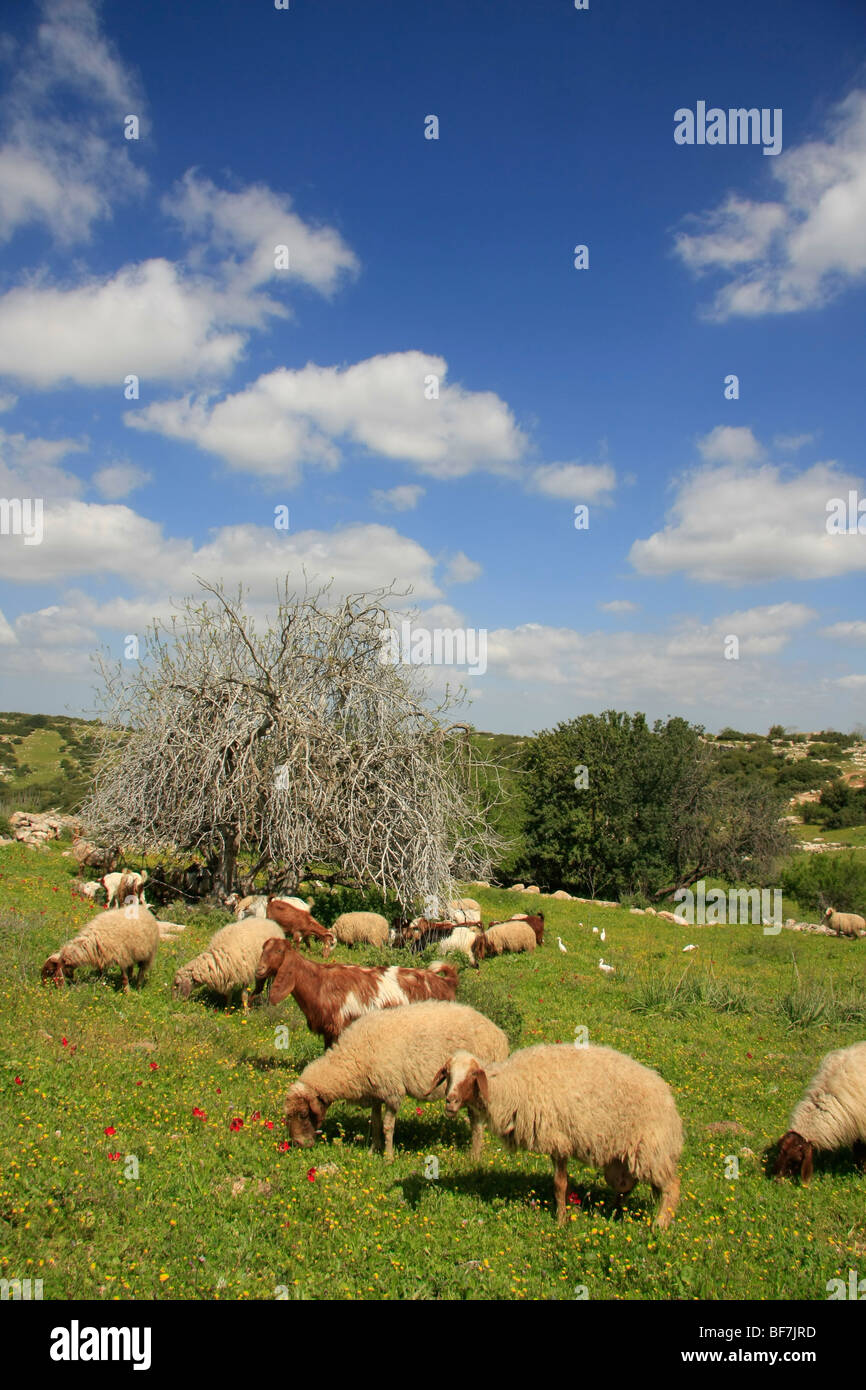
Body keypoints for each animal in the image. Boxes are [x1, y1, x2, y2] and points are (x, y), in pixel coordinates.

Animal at [253, 939, 458, 1047]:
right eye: (262, 949)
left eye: (279, 950)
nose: (259, 969)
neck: (318, 982)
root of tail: (446, 982)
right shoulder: (329, 1031)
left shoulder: (341, 1027)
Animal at [284, 1000, 509, 1160]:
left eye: (303, 1114)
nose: (298, 1144)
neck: (353, 1057)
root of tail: (500, 1036)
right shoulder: (376, 1091)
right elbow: (375, 1122)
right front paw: (372, 1150)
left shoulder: (392, 1091)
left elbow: (387, 1125)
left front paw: (388, 1157)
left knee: (477, 1121)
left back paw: (475, 1156)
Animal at [436, 1043, 683, 1228]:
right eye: (447, 1074)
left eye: (472, 1075)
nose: (450, 1102)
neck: (511, 1086)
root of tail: (668, 1098)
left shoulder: (558, 1139)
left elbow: (560, 1184)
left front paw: (561, 1221)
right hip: (622, 1159)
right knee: (626, 1186)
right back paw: (614, 1214)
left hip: (651, 1148)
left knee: (672, 1186)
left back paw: (659, 1225)